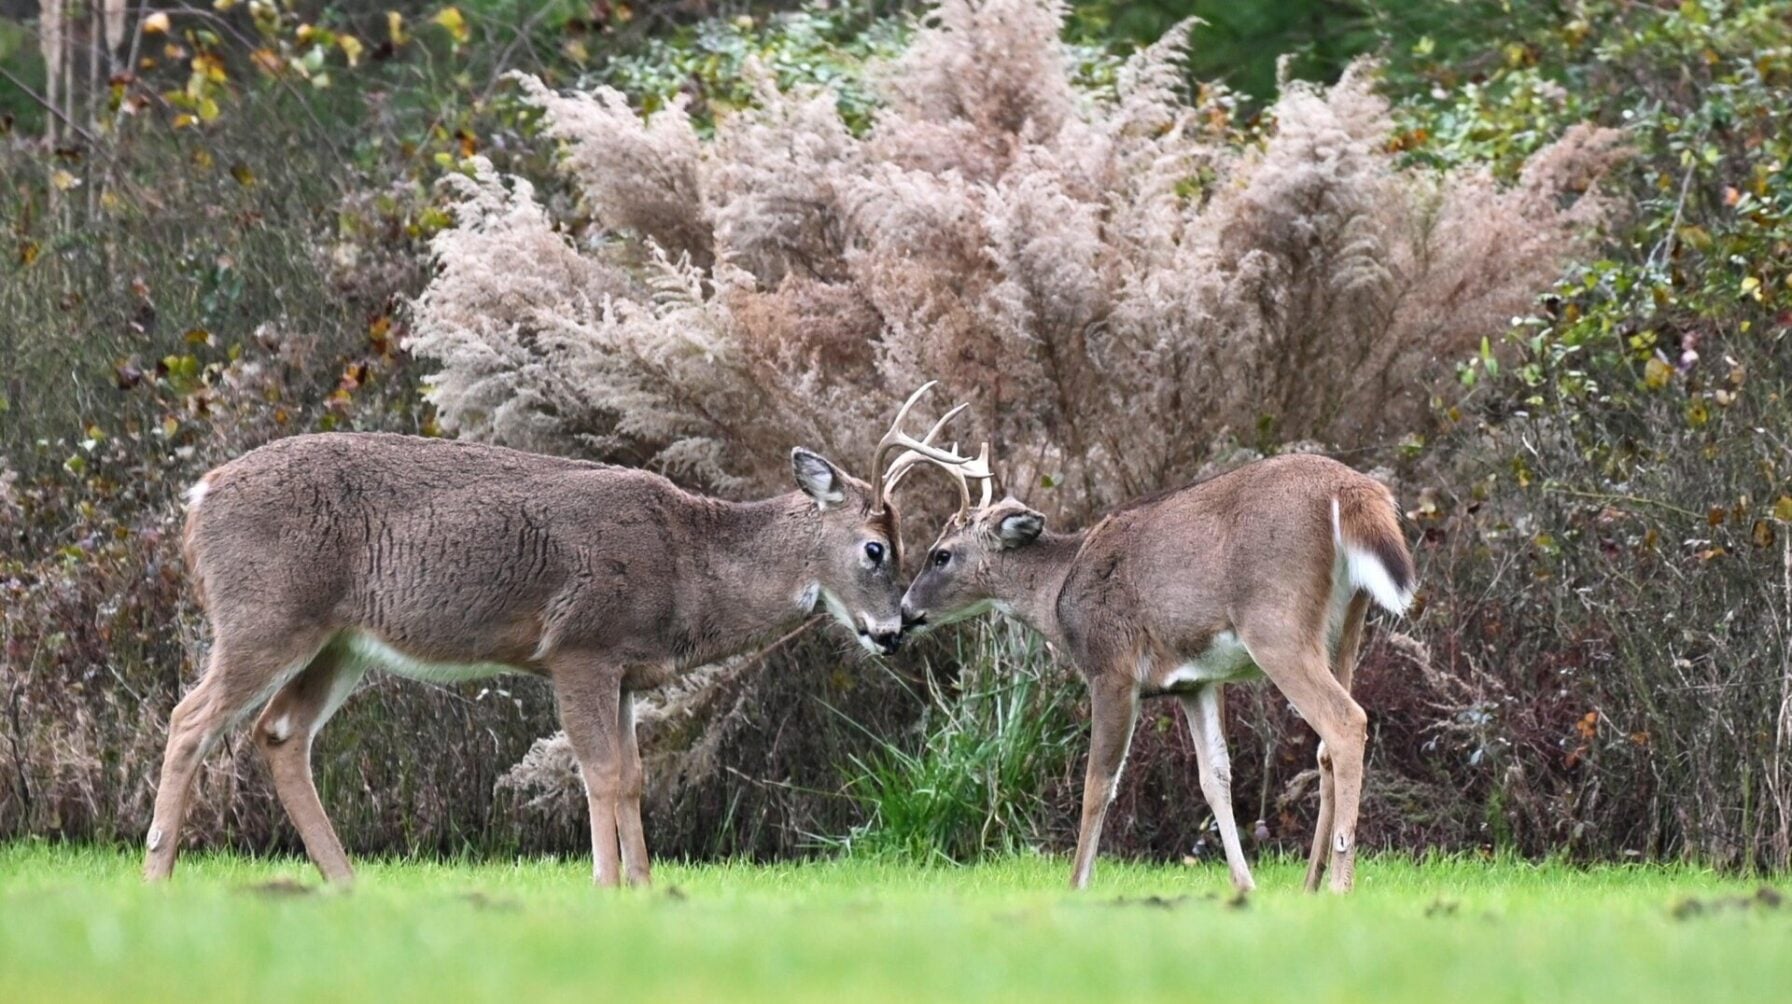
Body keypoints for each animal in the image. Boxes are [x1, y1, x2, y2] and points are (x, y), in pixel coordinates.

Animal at [144, 383, 984, 889]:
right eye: (875, 549)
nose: (894, 631)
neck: (688, 563)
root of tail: (198, 497)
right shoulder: (581, 645)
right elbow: (601, 772)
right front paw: (607, 886)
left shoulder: (627, 672)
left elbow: (634, 776)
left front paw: (643, 885)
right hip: (265, 611)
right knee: (190, 718)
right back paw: (158, 872)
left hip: (338, 642)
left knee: (281, 733)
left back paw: (346, 883)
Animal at [895, 449, 1415, 893]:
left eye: (940, 554)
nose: (903, 613)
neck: (1058, 590)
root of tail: (1353, 491)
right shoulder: (1194, 682)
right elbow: (1214, 777)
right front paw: (1245, 884)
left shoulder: (1112, 669)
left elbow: (1098, 782)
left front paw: (1076, 884)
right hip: (1345, 624)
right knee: (1326, 746)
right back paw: (1310, 884)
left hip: (1276, 624)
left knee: (1345, 721)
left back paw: (1340, 884)